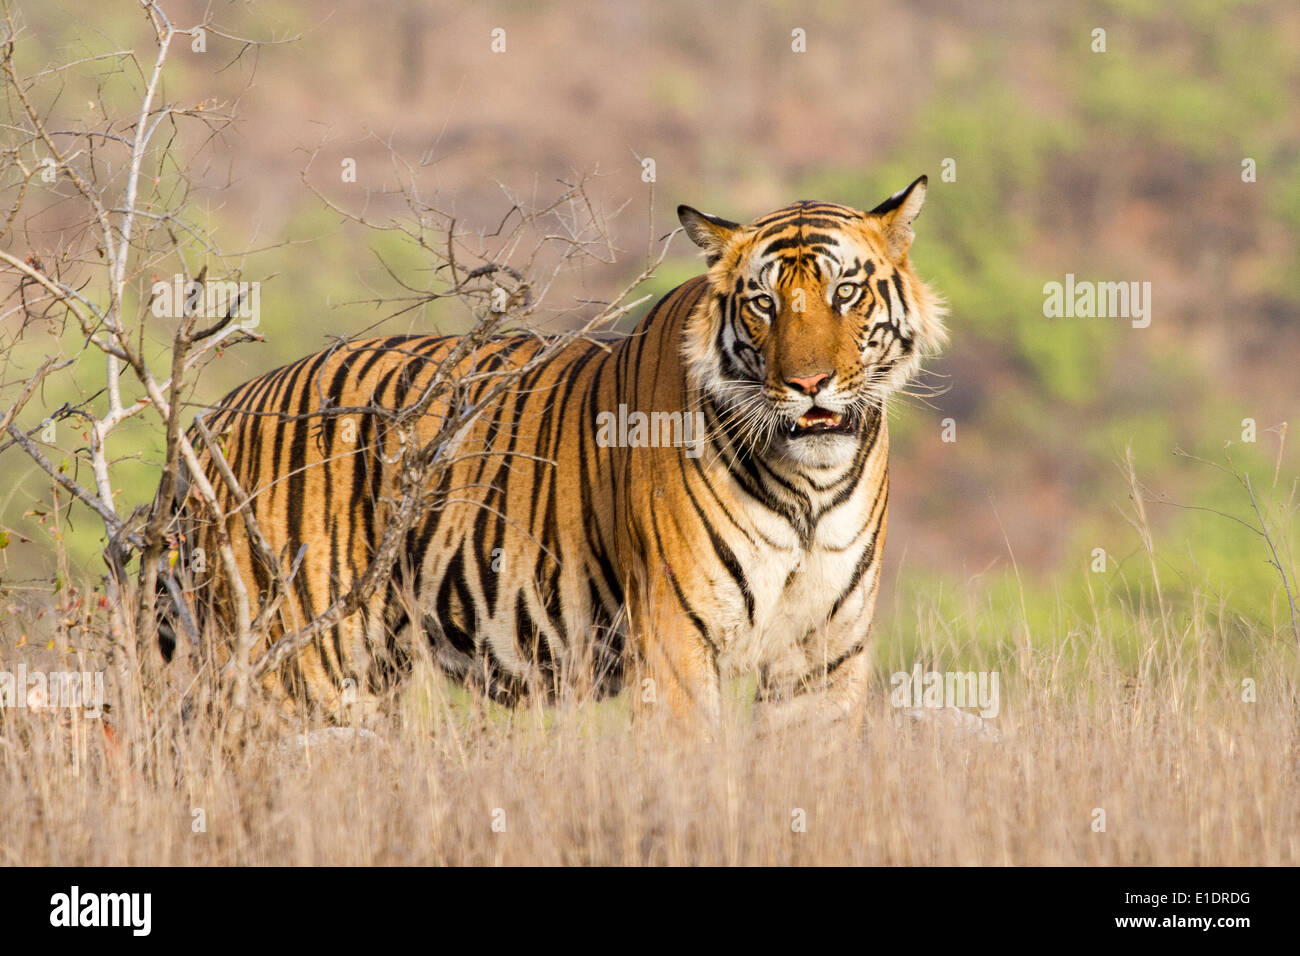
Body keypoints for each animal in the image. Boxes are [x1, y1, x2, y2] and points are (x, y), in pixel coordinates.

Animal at [157, 176, 946, 729]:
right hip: (300, 666)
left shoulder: (824, 654)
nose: (809, 384)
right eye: (764, 304)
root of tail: (215, 417)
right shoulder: (677, 643)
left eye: (845, 294)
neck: (809, 483)